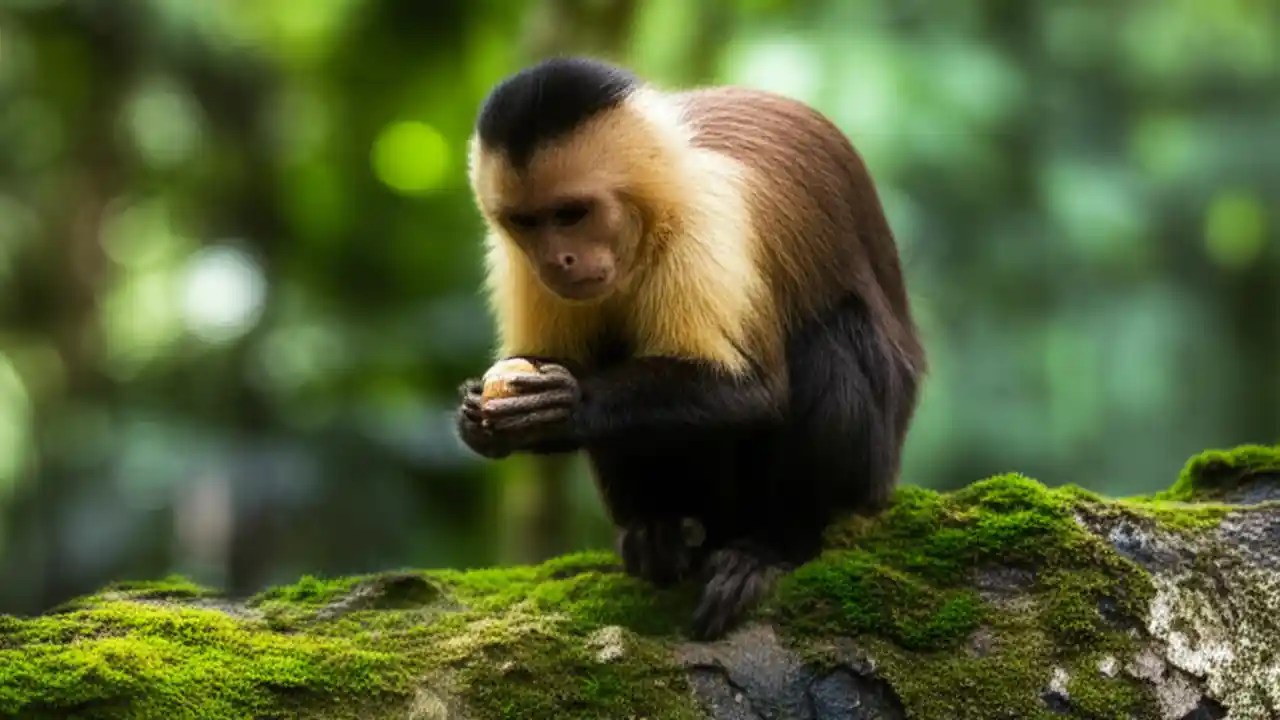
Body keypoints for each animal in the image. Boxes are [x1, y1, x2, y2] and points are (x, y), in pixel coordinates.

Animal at [455, 56, 925, 640]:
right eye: (527, 222)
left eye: (571, 213)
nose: (556, 260)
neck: (654, 205)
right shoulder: (517, 260)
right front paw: (481, 421)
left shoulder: (709, 220)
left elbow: (751, 392)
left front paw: (563, 405)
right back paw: (657, 529)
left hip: (872, 474)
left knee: (828, 341)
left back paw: (777, 545)